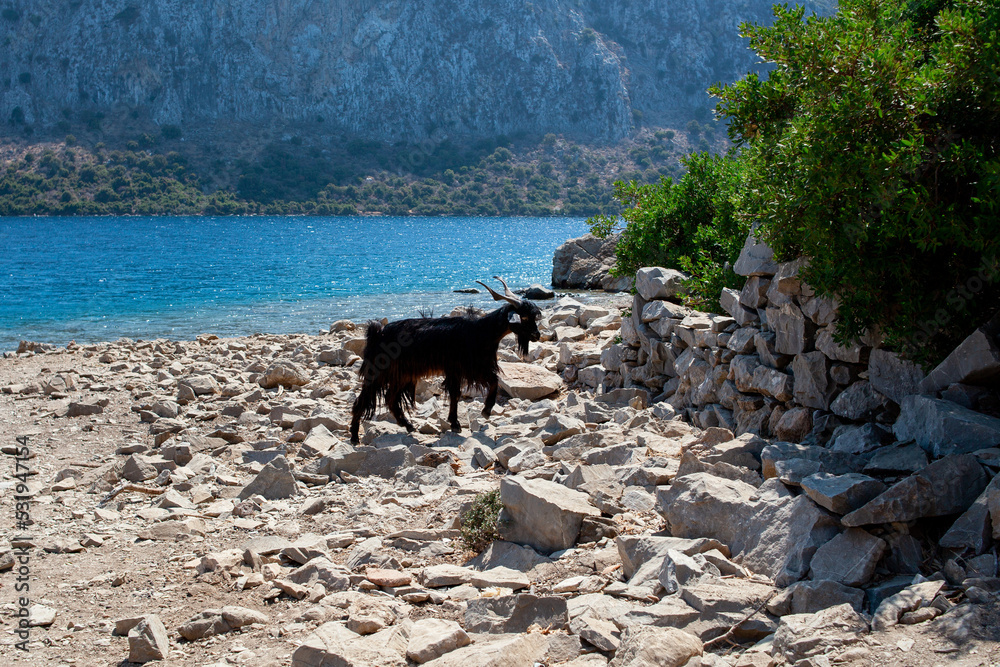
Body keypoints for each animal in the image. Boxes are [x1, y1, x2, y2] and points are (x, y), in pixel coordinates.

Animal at [349, 276, 542, 444]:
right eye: (524, 317)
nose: (537, 335)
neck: (482, 331)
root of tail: (377, 332)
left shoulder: (465, 369)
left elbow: (470, 389)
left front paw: (459, 421)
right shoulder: (464, 368)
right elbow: (467, 390)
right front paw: (482, 412)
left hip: (402, 374)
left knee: (390, 398)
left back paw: (408, 425)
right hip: (380, 371)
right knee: (362, 400)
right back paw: (354, 437)